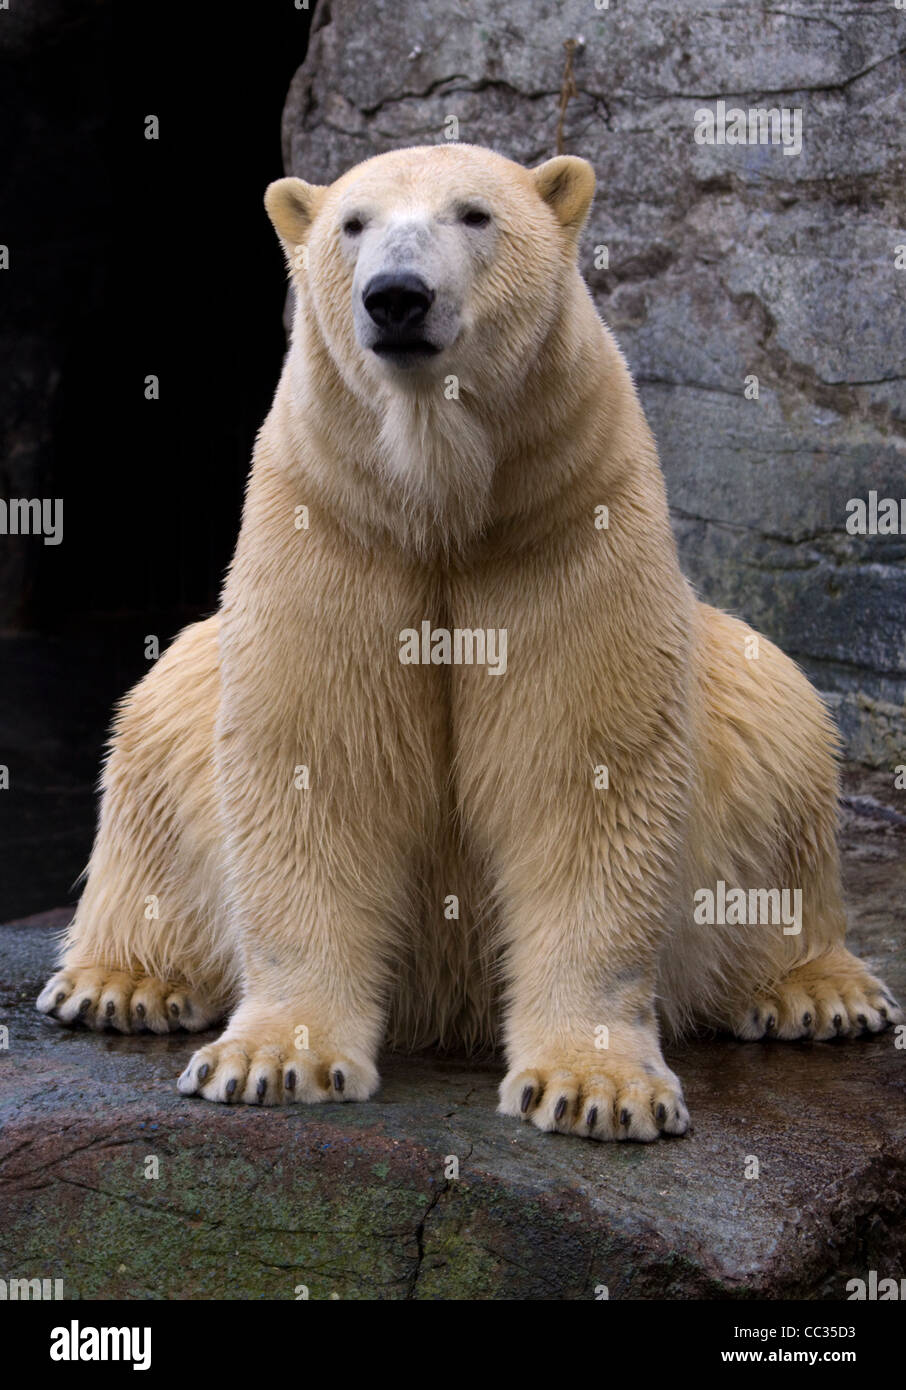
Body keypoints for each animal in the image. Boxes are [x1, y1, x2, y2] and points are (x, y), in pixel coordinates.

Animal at [37, 143, 901, 1142]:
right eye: (354, 223)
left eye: (474, 214)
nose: (397, 297)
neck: (442, 507)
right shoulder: (330, 526)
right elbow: (312, 762)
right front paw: (274, 1060)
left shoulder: (566, 524)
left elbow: (586, 775)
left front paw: (594, 1089)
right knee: (153, 724)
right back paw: (120, 983)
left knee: (786, 726)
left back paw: (818, 992)